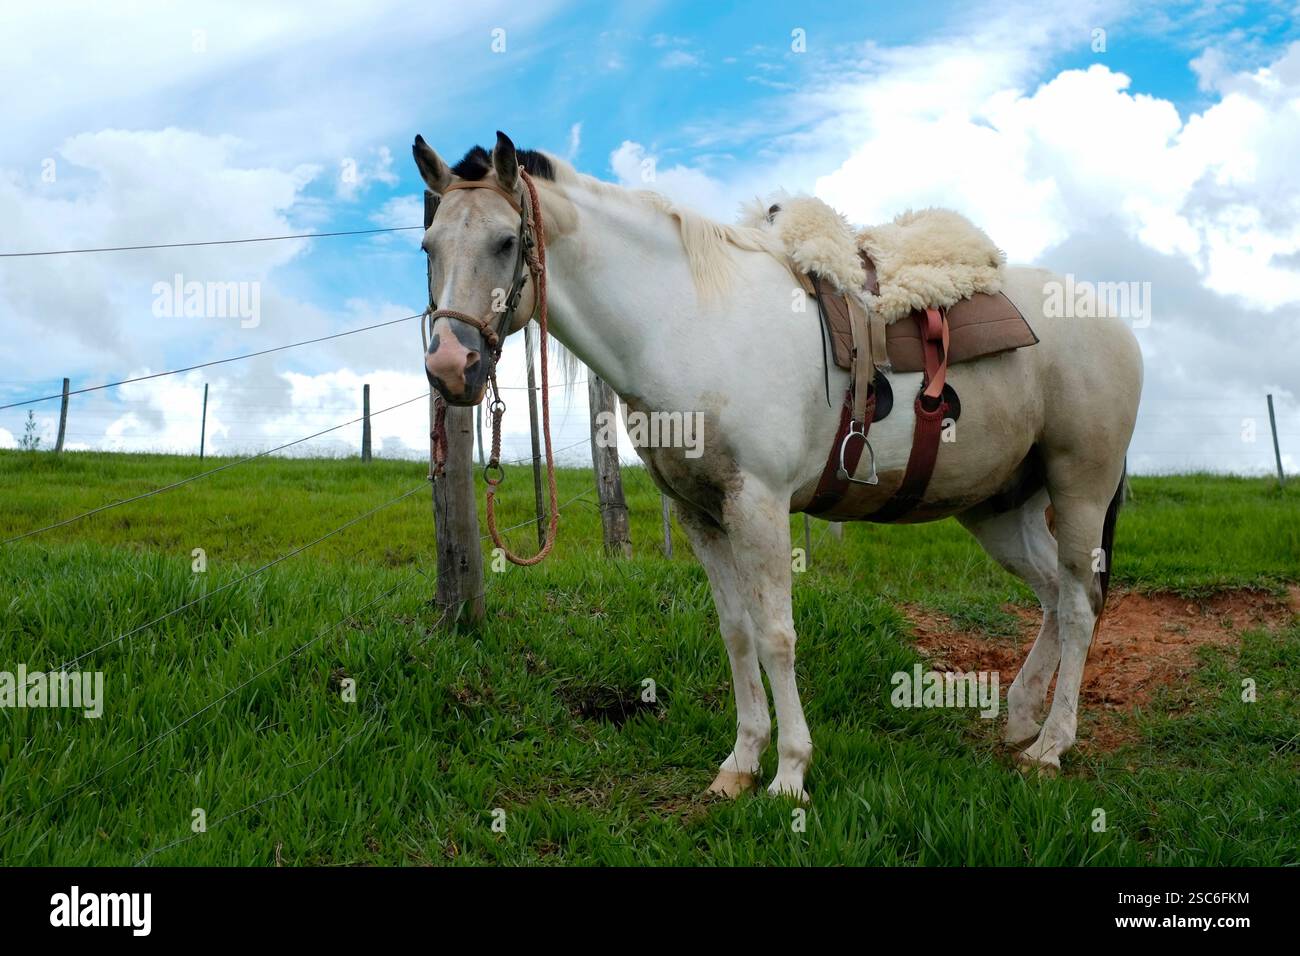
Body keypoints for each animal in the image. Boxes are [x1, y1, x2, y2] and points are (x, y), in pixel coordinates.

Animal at [414, 131, 1143, 800]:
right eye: (429, 247)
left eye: (506, 242)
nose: (450, 365)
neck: (687, 317)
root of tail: (1110, 322)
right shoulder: (700, 514)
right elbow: (737, 633)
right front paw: (741, 762)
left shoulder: (758, 503)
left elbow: (775, 635)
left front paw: (790, 772)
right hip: (998, 508)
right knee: (1052, 596)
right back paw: (1020, 718)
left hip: (1080, 489)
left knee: (1080, 606)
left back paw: (1051, 747)